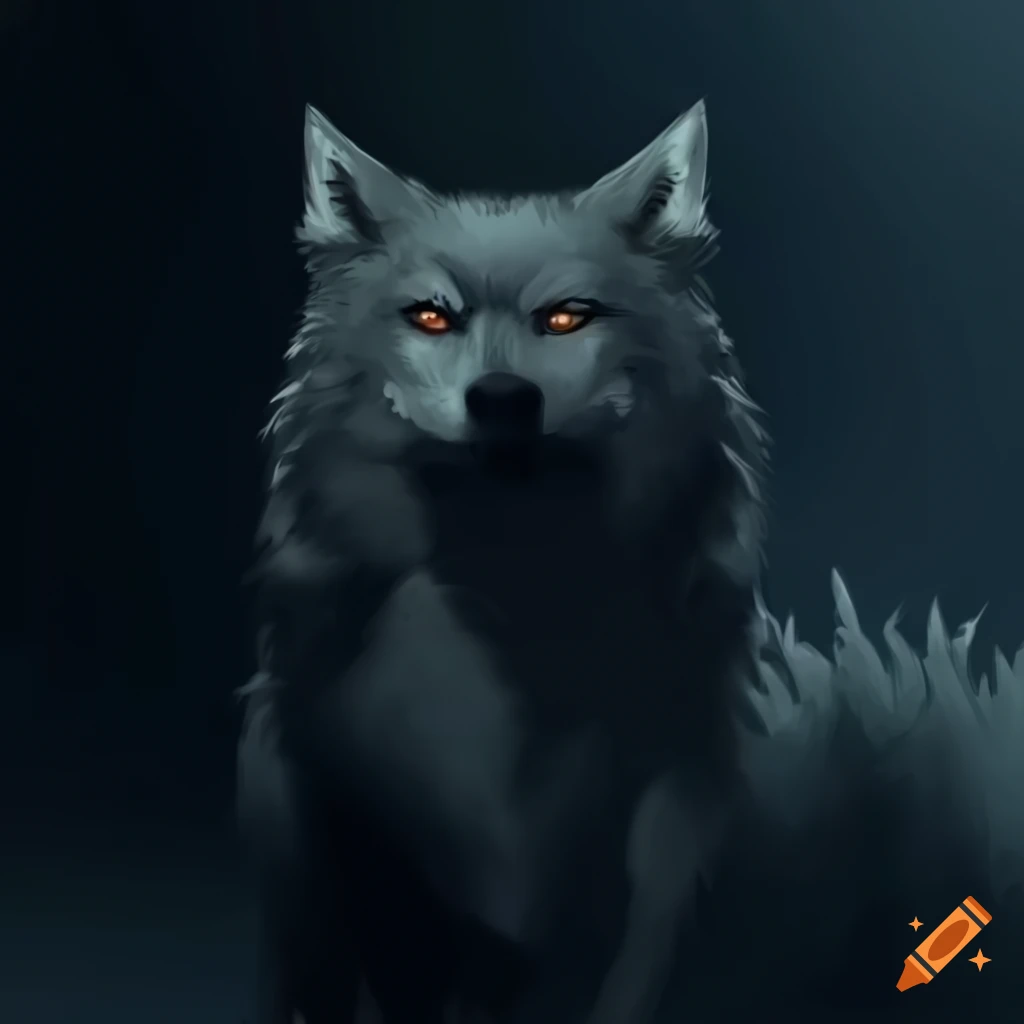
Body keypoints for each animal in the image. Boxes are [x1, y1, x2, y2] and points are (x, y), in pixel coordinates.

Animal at [237, 99, 768, 1024]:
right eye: (431, 316)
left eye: (566, 317)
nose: (502, 399)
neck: (514, 585)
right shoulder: (328, 792)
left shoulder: (677, 776)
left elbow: (635, 960)